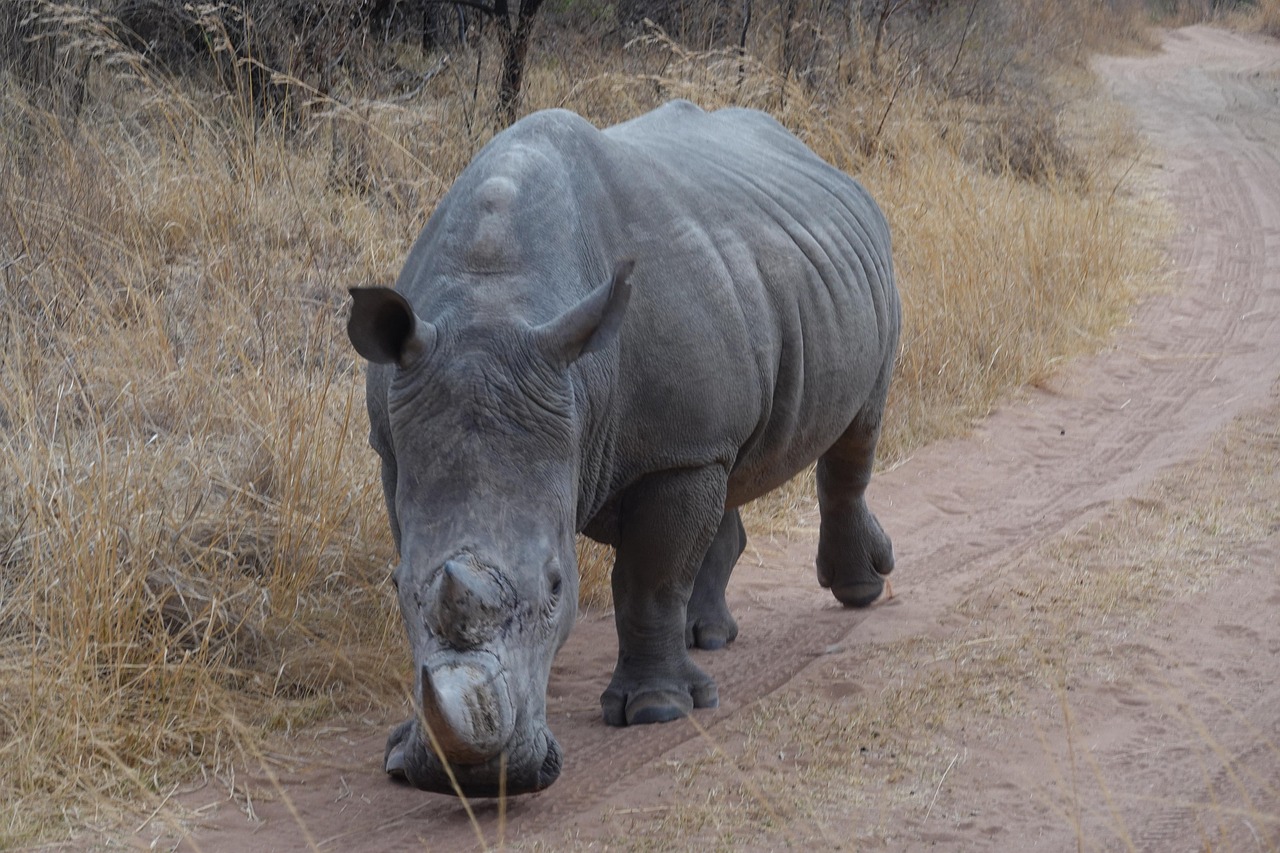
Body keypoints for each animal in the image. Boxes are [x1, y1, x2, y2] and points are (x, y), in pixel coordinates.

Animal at [346, 100, 899, 797]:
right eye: (395, 590)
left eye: (558, 588)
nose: (472, 782)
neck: (496, 303)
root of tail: (821, 160)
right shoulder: (394, 450)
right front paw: (400, 750)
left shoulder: (677, 450)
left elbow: (648, 579)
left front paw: (658, 710)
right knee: (729, 473)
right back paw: (707, 637)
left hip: (868, 273)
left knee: (857, 432)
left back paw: (859, 591)